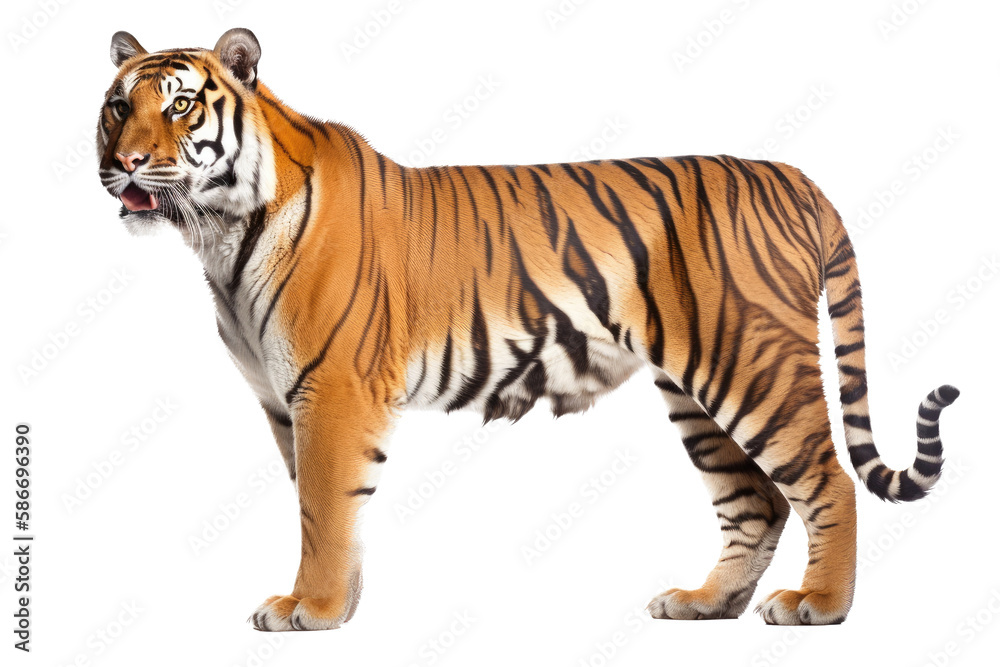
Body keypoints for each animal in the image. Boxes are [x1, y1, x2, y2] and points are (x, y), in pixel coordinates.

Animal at [96, 28, 958, 630]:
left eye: (179, 104)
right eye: (118, 106)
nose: (126, 163)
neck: (218, 234)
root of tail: (795, 175)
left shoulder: (331, 391)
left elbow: (322, 509)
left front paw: (310, 609)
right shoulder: (285, 402)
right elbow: (328, 507)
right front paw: (339, 601)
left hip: (754, 362)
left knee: (828, 479)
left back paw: (820, 603)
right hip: (698, 391)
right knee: (757, 502)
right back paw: (704, 602)